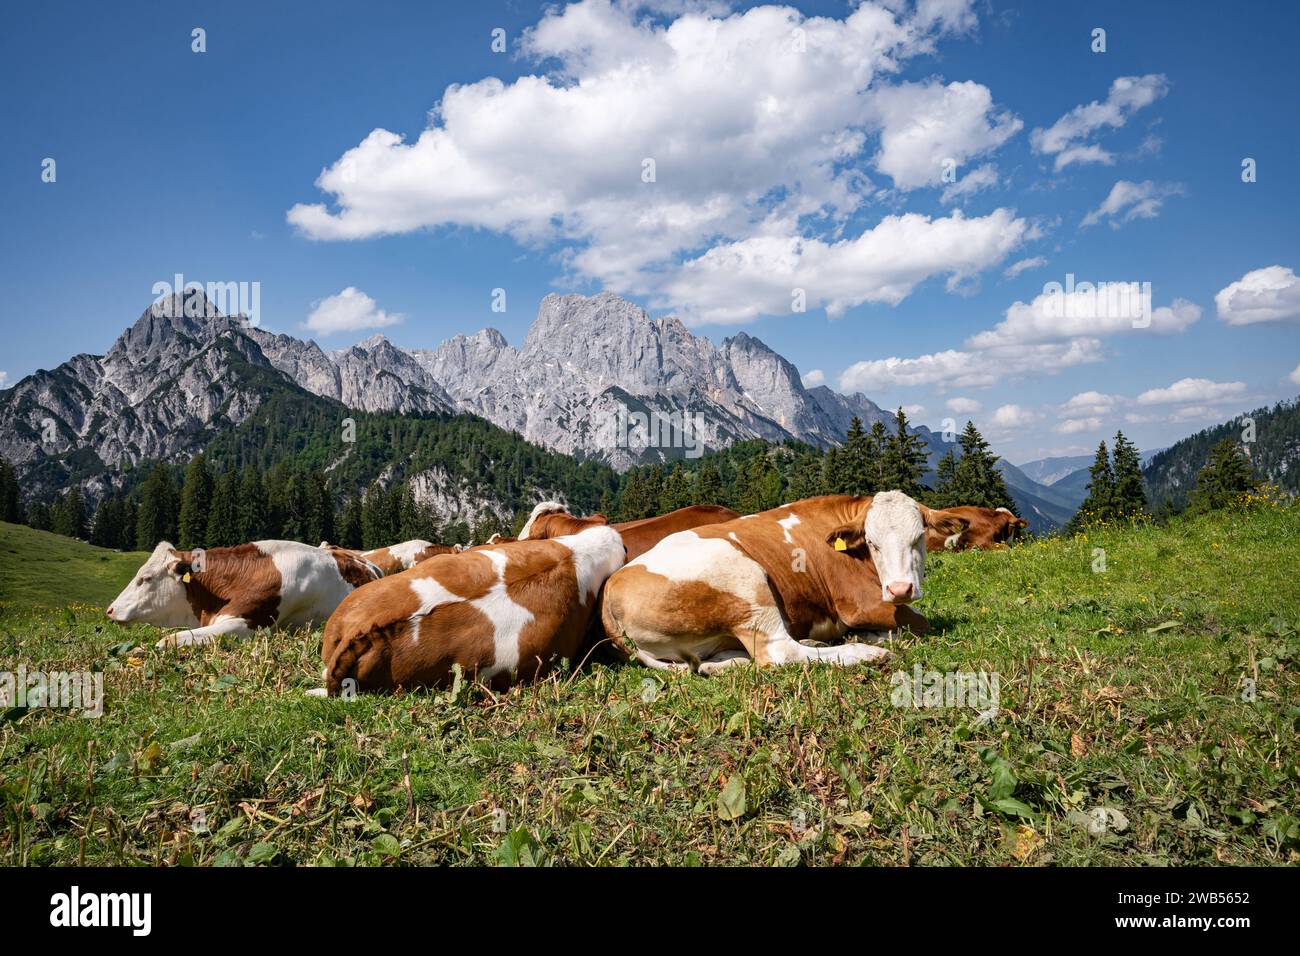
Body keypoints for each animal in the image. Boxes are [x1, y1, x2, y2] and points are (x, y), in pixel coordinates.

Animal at [600, 492, 967, 675]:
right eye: (872, 542)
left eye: (919, 537)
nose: (900, 589)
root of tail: (612, 587)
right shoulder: (861, 603)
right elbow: (922, 623)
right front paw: (874, 636)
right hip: (745, 582)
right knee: (779, 652)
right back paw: (866, 652)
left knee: (717, 662)